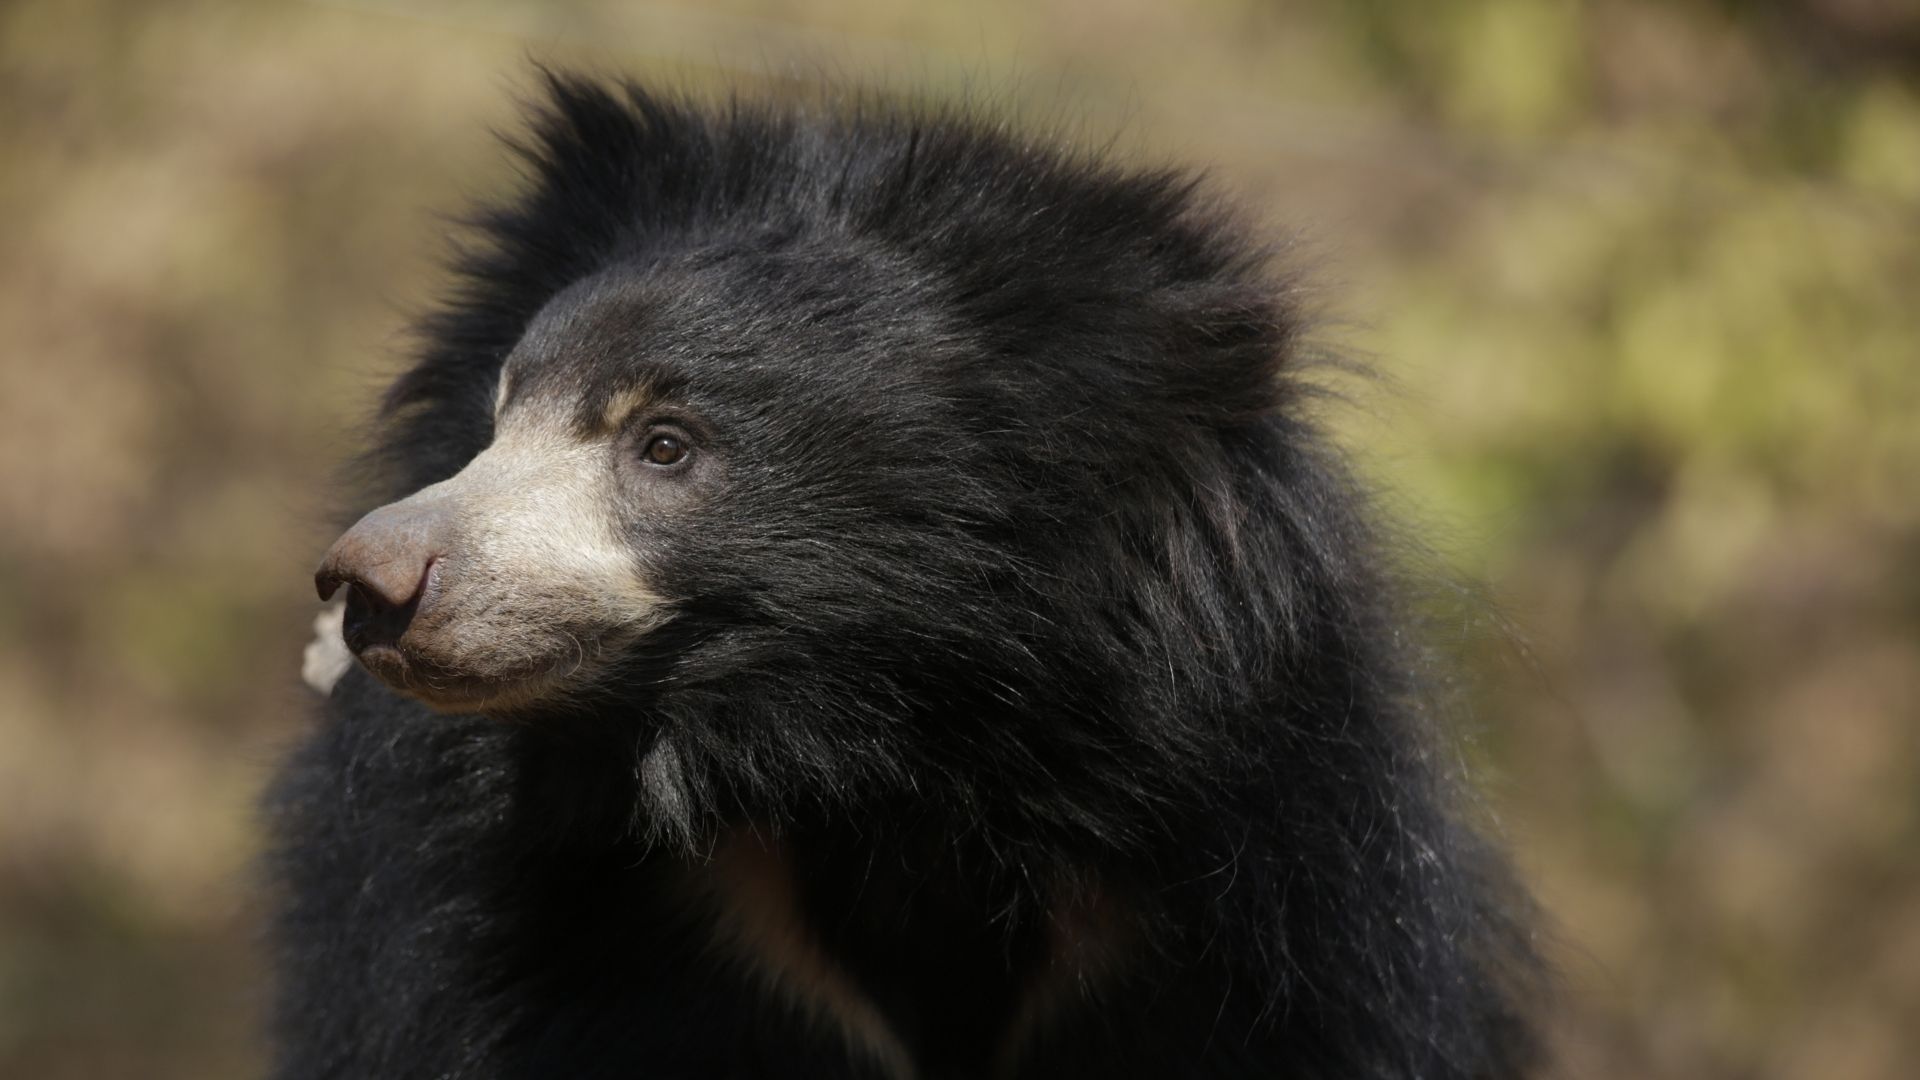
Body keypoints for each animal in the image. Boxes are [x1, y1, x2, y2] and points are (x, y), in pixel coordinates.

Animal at [266, 73, 1542, 1079]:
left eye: (666, 444)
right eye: (496, 418)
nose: (367, 583)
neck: (877, 769)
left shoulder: (1250, 914)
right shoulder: (556, 942)